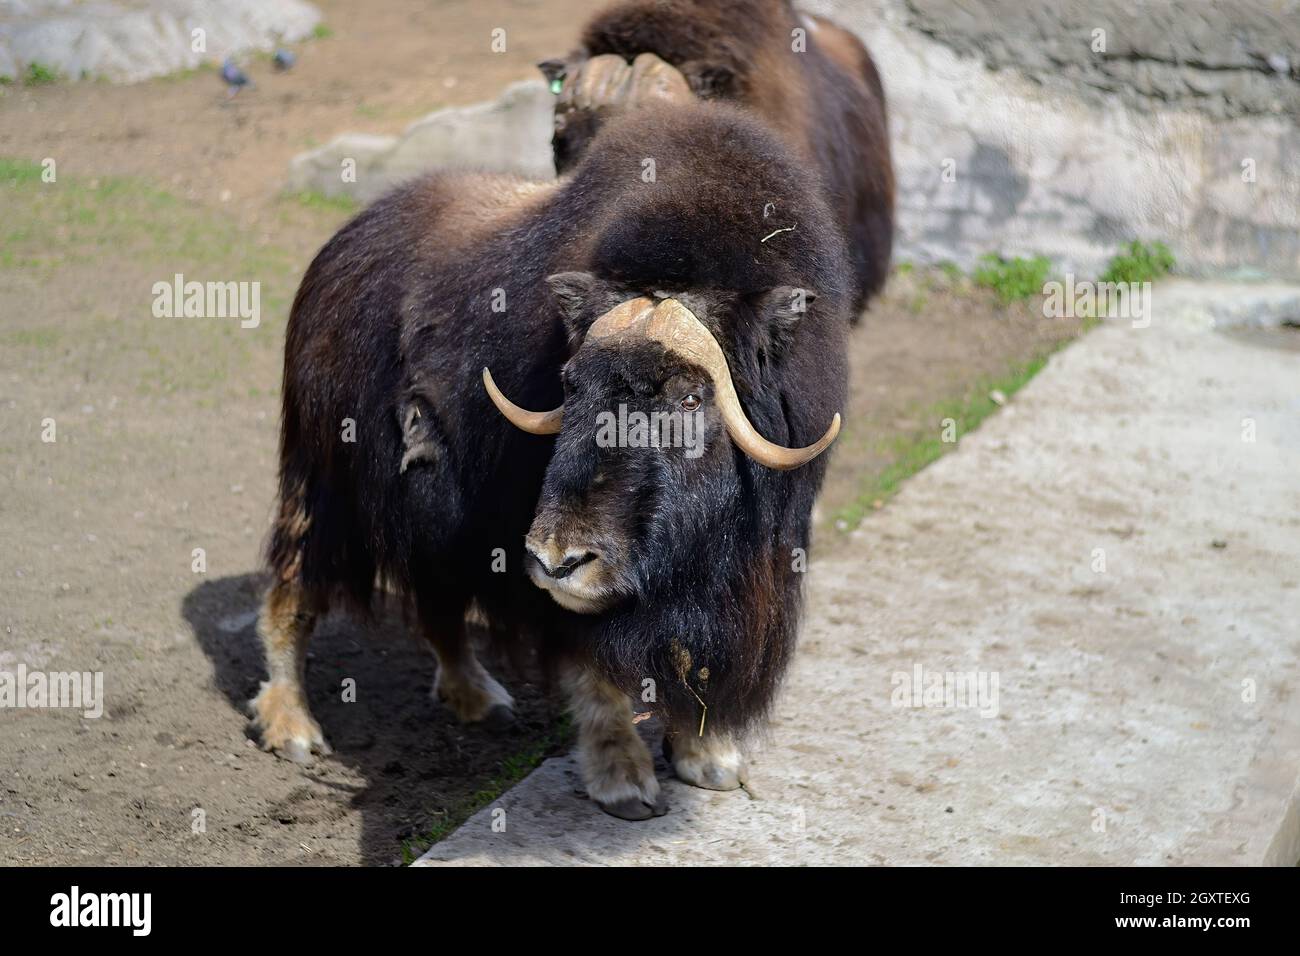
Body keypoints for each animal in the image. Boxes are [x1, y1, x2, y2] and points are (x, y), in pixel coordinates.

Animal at [251, 100, 850, 819]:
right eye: (571, 385)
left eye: (689, 396)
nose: (558, 559)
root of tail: (340, 244)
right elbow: (586, 665)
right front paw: (622, 778)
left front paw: (708, 756)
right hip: (325, 479)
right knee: (294, 582)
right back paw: (292, 725)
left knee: (436, 599)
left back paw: (478, 696)